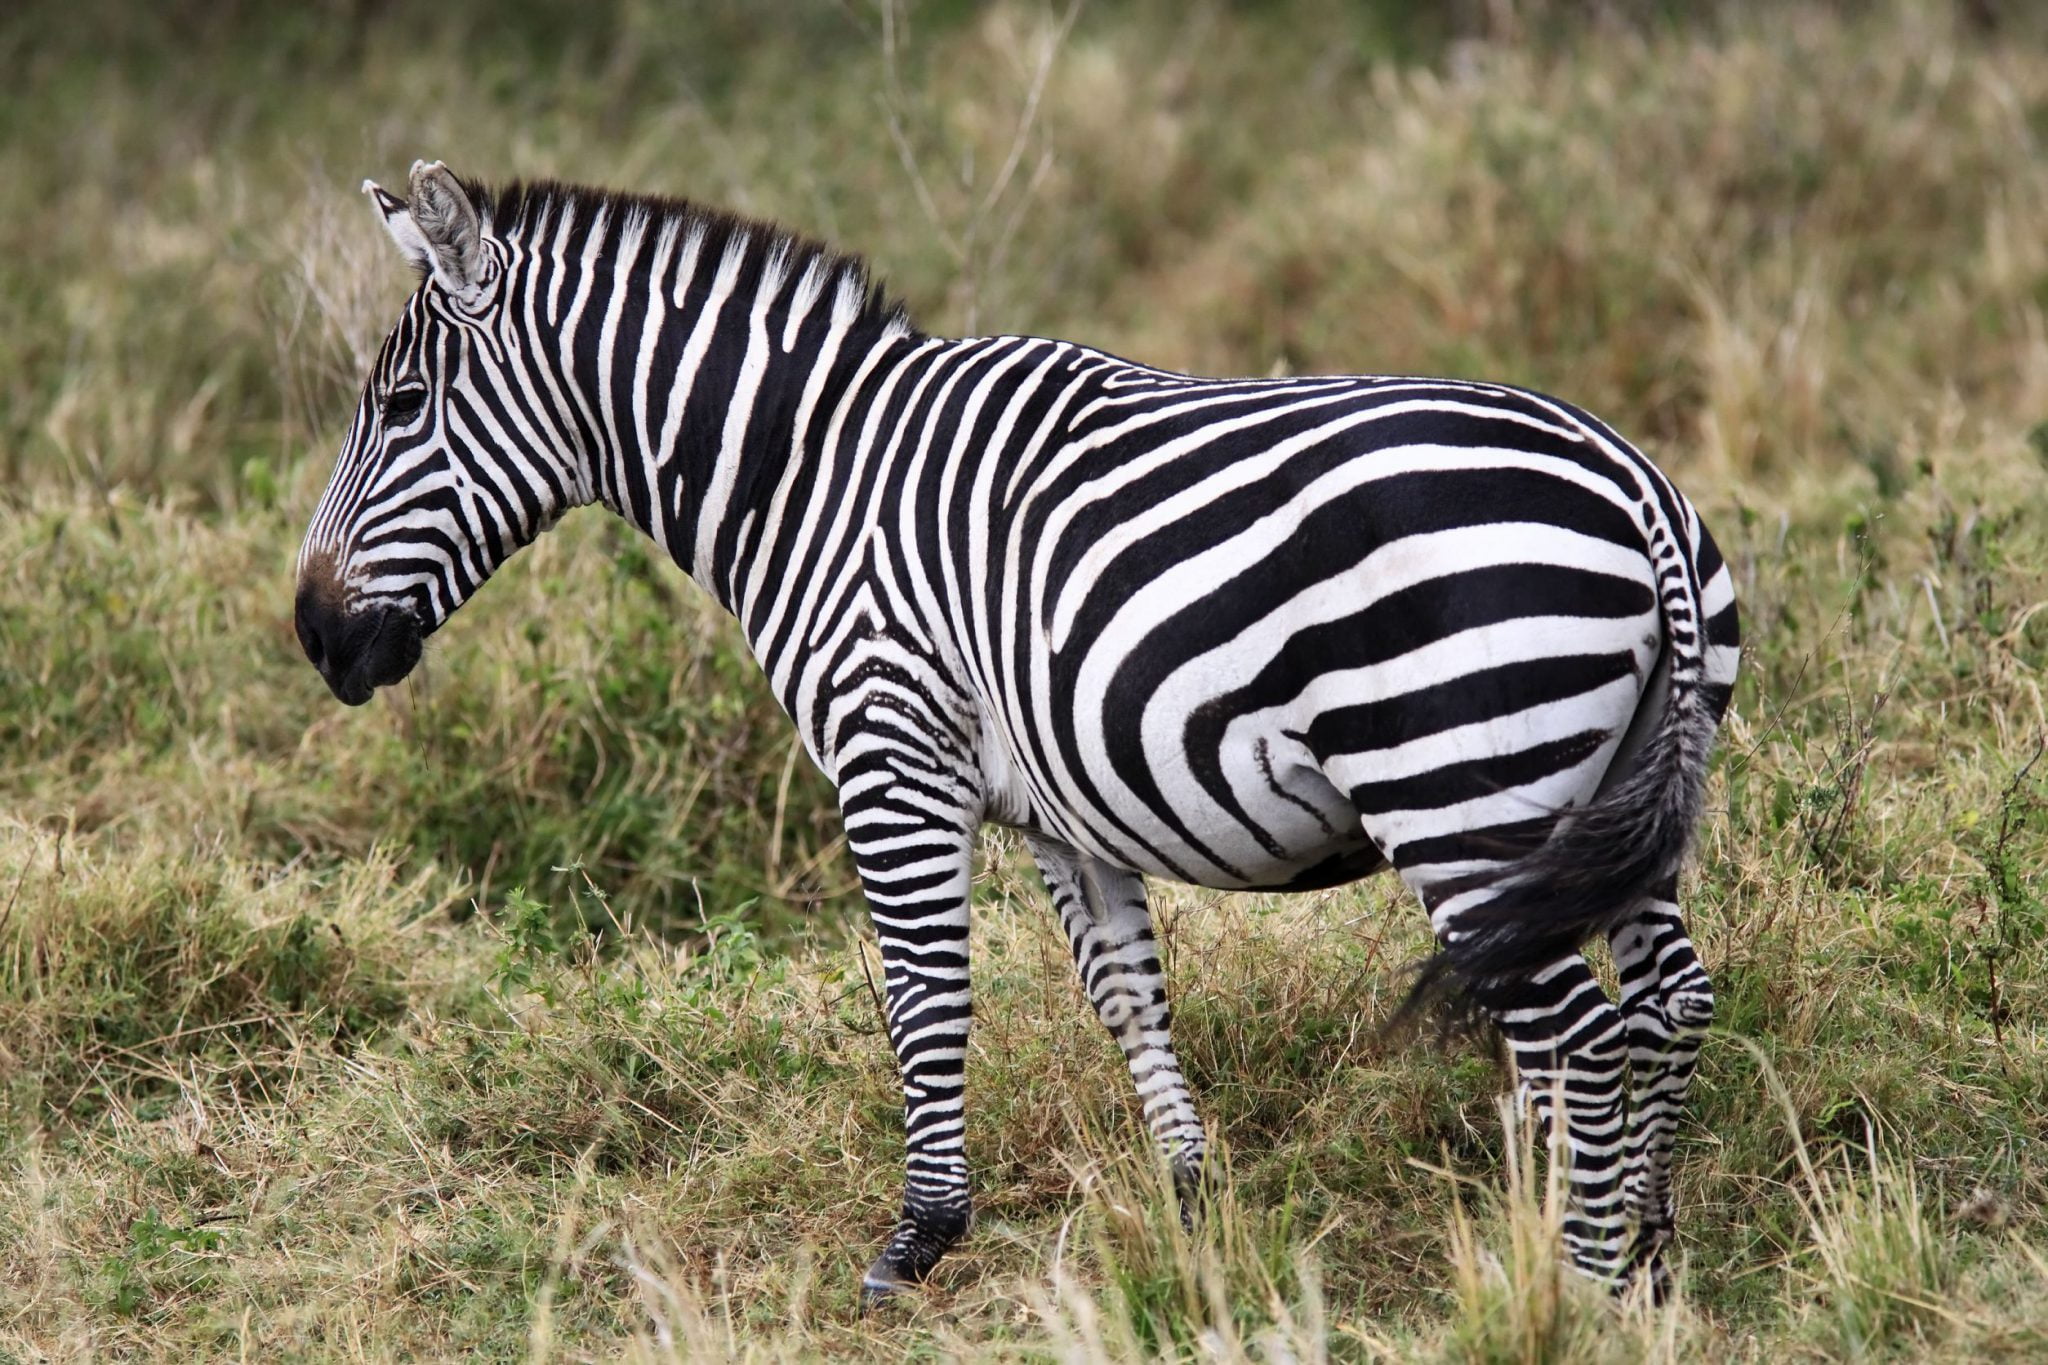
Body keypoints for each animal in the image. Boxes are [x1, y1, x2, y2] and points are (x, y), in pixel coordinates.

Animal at [295, 161, 1741, 1303]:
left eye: (404, 406)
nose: (313, 635)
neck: (803, 470)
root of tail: (1631, 483)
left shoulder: (890, 758)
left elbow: (924, 995)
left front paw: (920, 1236)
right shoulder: (1062, 812)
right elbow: (1126, 995)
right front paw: (1191, 1207)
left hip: (1460, 791)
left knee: (1578, 1038)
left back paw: (1580, 1287)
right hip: (1612, 802)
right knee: (1668, 1001)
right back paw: (1651, 1264)